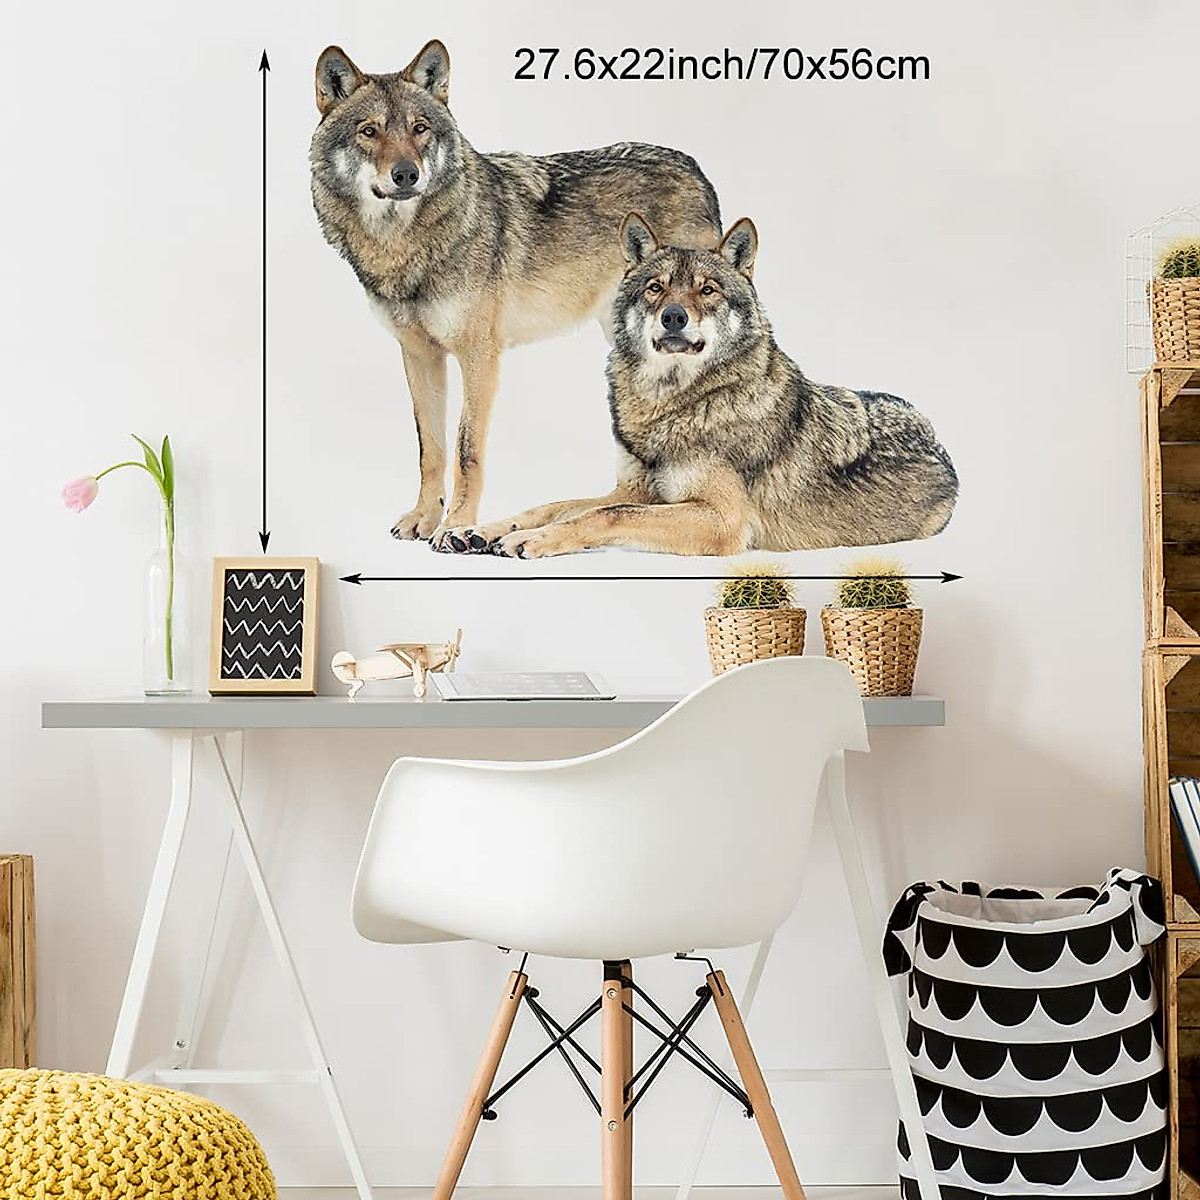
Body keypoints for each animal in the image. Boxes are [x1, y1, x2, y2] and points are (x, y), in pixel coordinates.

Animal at [309, 40, 722, 549]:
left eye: (419, 129)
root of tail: (694, 167)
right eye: (370, 131)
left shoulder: (479, 355)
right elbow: (430, 447)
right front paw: (424, 517)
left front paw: (457, 525)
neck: (406, 245)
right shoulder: (419, 354)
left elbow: (466, 449)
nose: (407, 174)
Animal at [455, 214, 958, 558]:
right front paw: (481, 529)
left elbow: (604, 514)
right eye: (656, 288)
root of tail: (937, 436)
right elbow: (559, 504)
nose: (674, 316)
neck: (673, 403)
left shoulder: (721, 519)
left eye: (708, 289)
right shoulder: (637, 489)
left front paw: (533, 540)